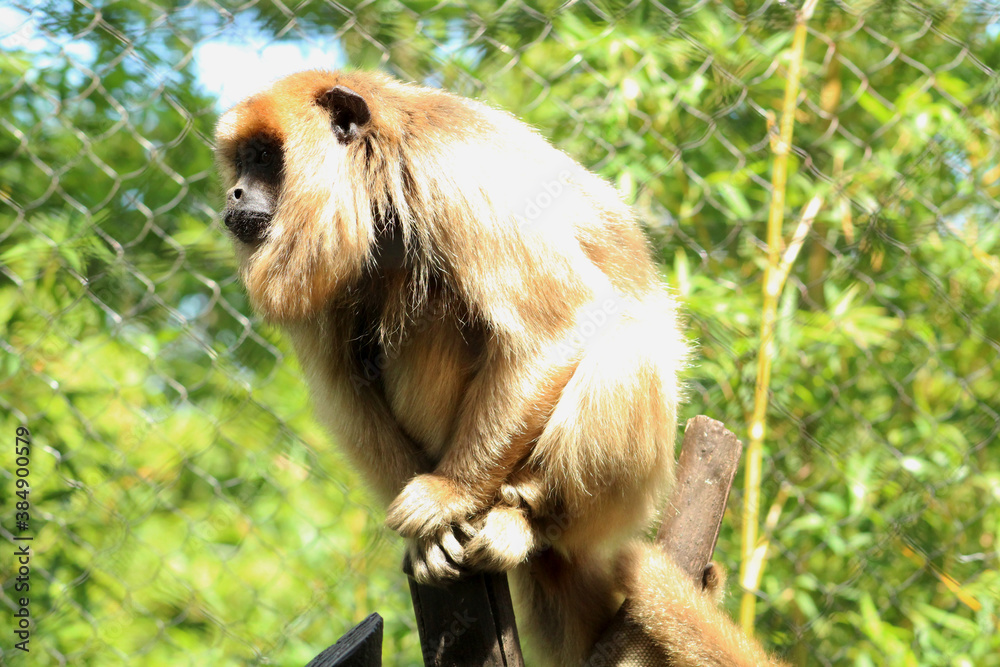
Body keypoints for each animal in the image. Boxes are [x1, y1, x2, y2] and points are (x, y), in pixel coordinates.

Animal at [214, 69, 781, 666]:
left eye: (263, 158)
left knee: (622, 345)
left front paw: (450, 496)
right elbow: (342, 389)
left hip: (631, 490)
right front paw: (425, 537)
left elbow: (559, 327)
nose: (234, 193)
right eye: (242, 161)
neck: (379, 177)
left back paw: (527, 520)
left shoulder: (452, 172)